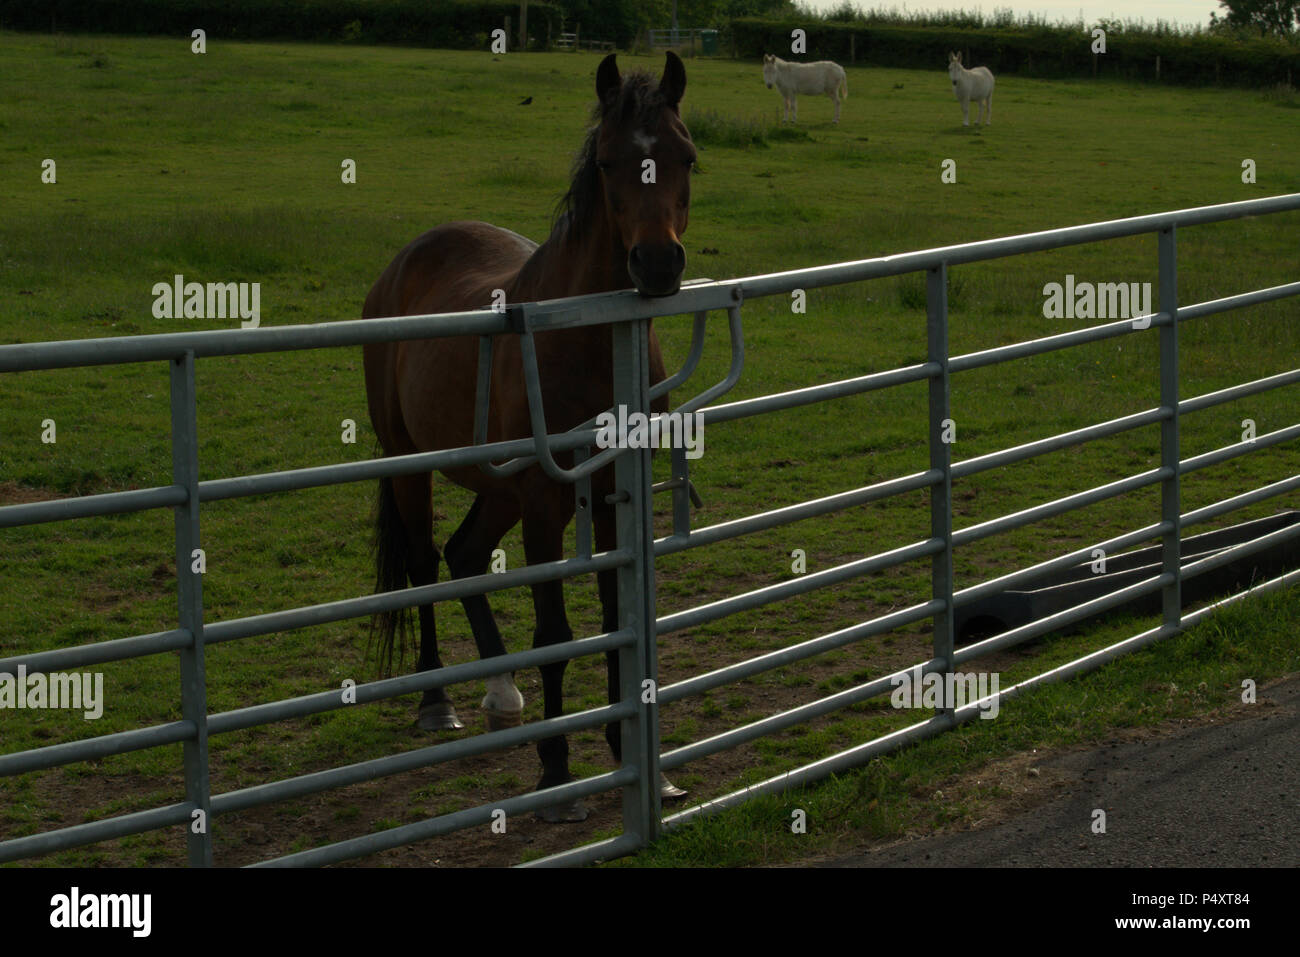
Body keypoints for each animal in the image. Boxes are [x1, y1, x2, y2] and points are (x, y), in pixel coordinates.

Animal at [360, 53, 694, 822]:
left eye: (686, 156)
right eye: (607, 162)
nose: (657, 265)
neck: (590, 342)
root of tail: (402, 264)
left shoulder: (612, 494)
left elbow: (616, 617)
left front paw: (632, 756)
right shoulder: (547, 501)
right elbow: (555, 634)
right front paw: (556, 774)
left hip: (500, 489)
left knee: (464, 553)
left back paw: (502, 692)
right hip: (412, 464)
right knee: (424, 561)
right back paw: (437, 701)